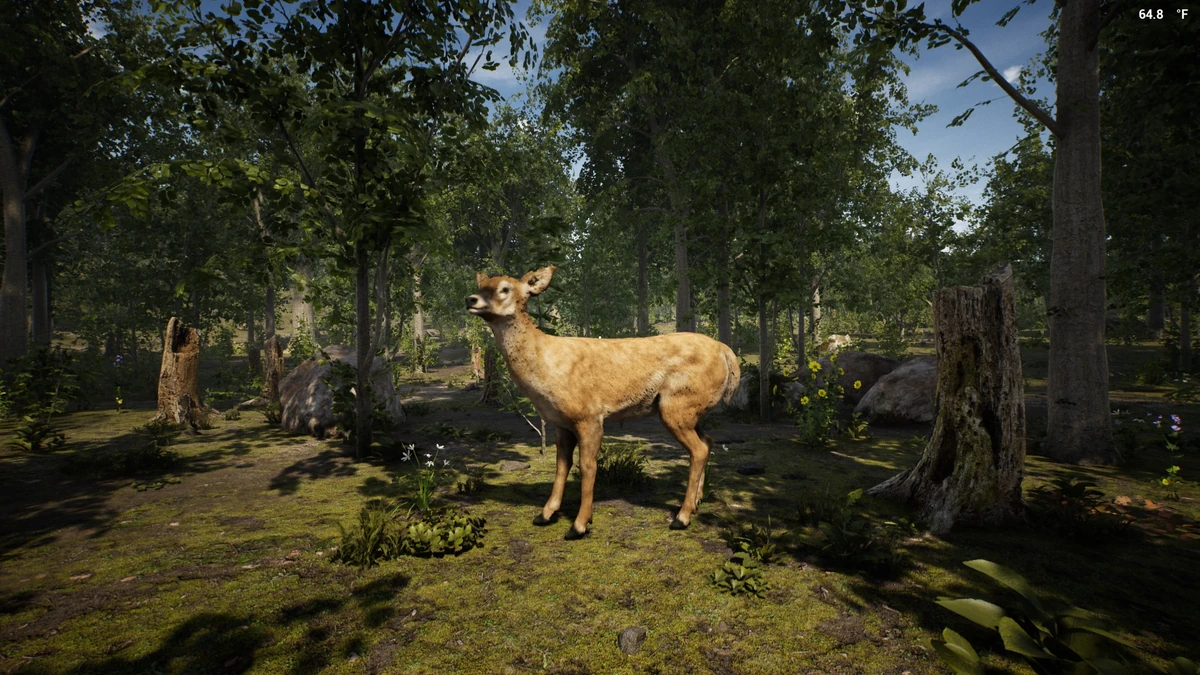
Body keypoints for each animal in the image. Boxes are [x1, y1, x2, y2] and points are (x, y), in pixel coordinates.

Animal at [467, 266, 740, 540]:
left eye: (505, 288)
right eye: (481, 286)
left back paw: (681, 517)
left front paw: (579, 525)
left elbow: (588, 466)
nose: (471, 299)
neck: (547, 365)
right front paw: (545, 514)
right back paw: (695, 504)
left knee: (699, 449)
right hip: (690, 409)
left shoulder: (589, 416)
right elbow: (561, 465)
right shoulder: (560, 423)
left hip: (677, 405)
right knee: (708, 441)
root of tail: (726, 352)